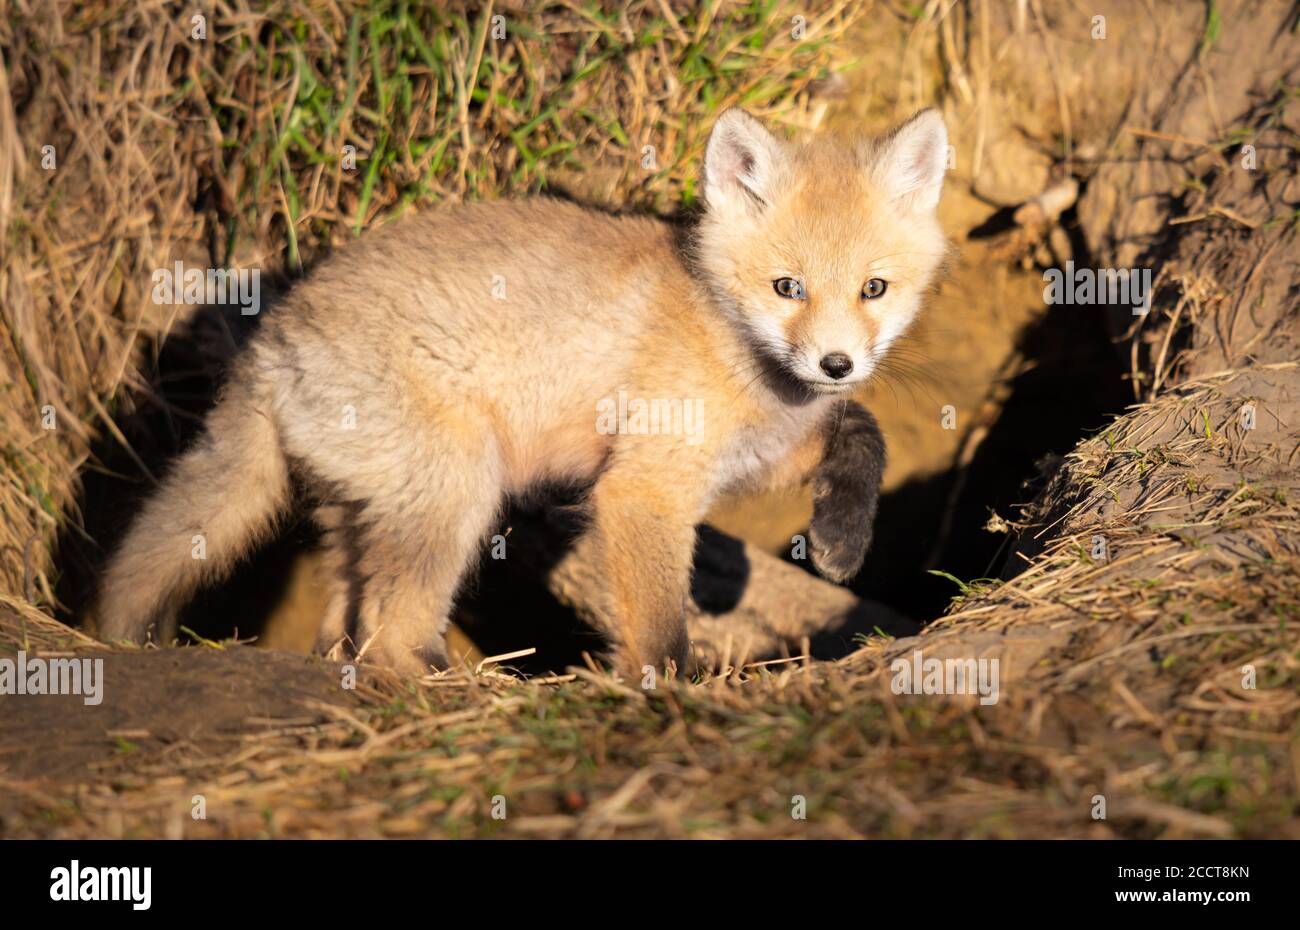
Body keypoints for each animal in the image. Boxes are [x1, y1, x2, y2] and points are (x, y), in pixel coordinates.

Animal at [96, 107, 949, 680]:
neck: (735, 349)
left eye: (874, 289)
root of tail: (273, 337)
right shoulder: (644, 489)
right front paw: (671, 696)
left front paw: (841, 539)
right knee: (390, 631)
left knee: (347, 625)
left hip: (366, 514)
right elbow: (661, 632)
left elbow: (862, 433)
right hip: (457, 490)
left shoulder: (761, 455)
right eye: (787, 287)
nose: (835, 363)